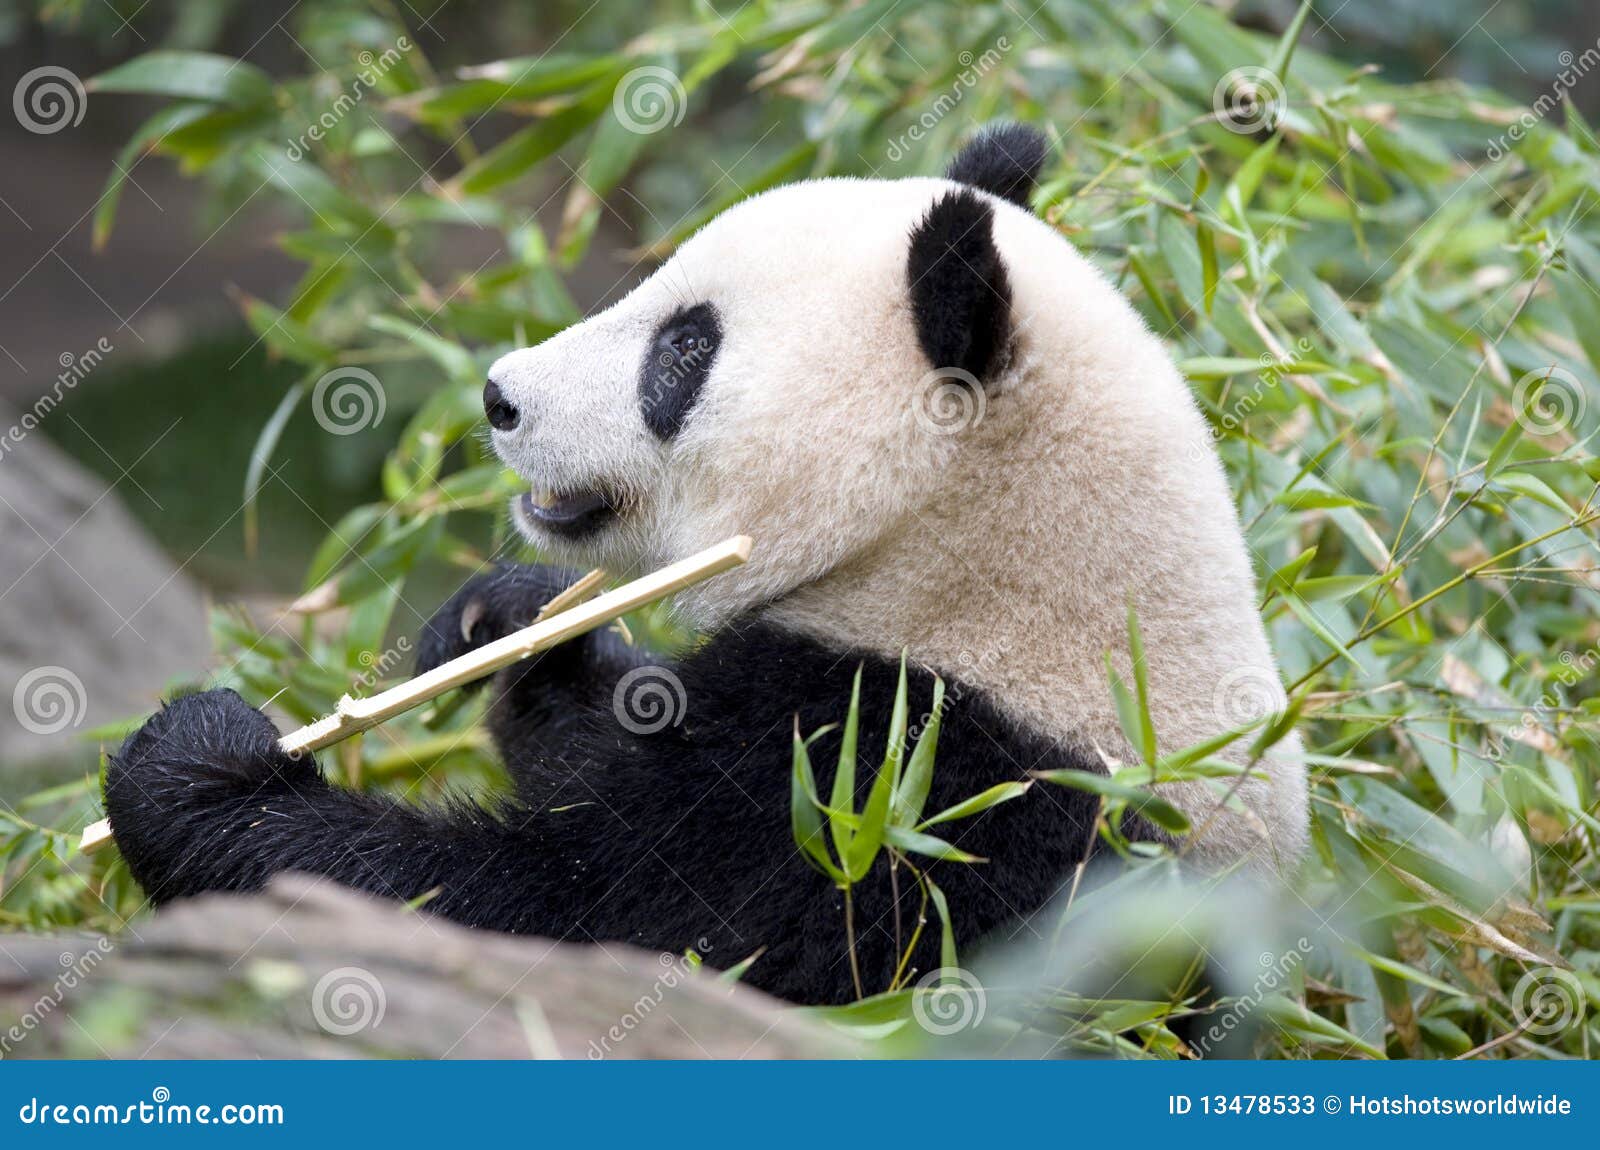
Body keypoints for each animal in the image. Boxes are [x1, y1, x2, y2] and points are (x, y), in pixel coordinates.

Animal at [105, 124, 1307, 1007]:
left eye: (682, 349)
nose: (498, 395)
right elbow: (611, 734)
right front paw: (511, 621)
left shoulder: (928, 797)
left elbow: (604, 930)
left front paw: (198, 768)